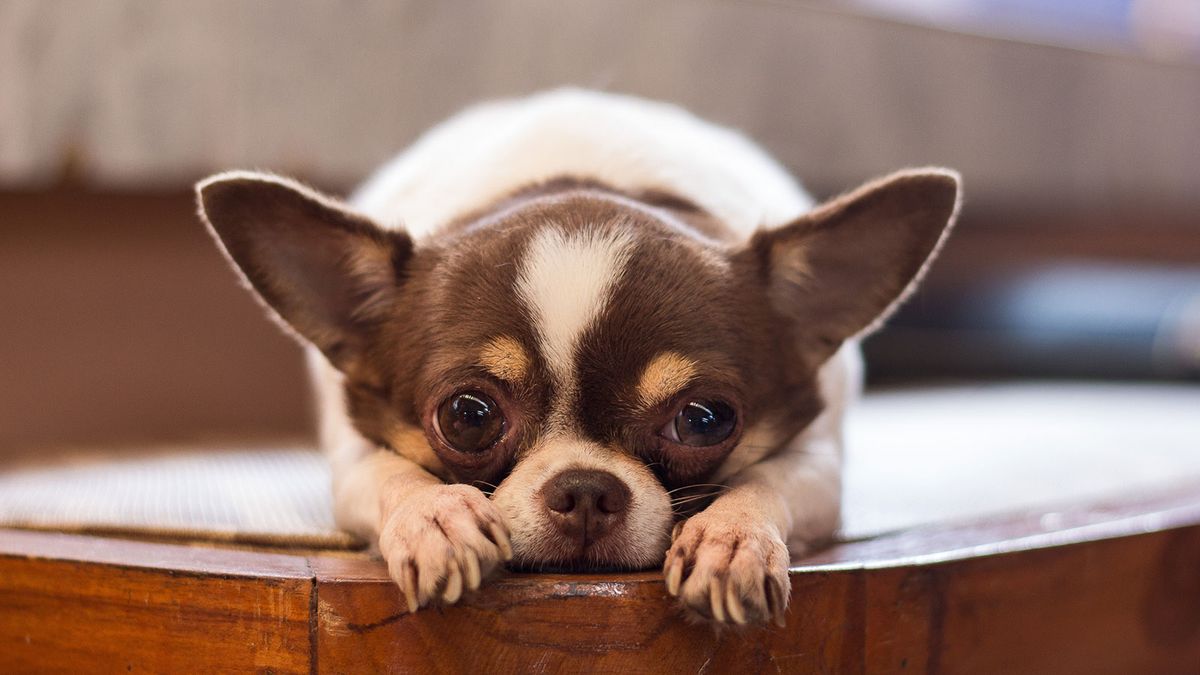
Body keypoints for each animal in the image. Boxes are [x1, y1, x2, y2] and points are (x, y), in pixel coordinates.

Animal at [196, 86, 955, 624]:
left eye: (704, 419)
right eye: (468, 416)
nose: (587, 489)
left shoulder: (820, 462)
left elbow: (765, 481)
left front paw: (730, 537)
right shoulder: (352, 452)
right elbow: (389, 472)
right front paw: (436, 516)